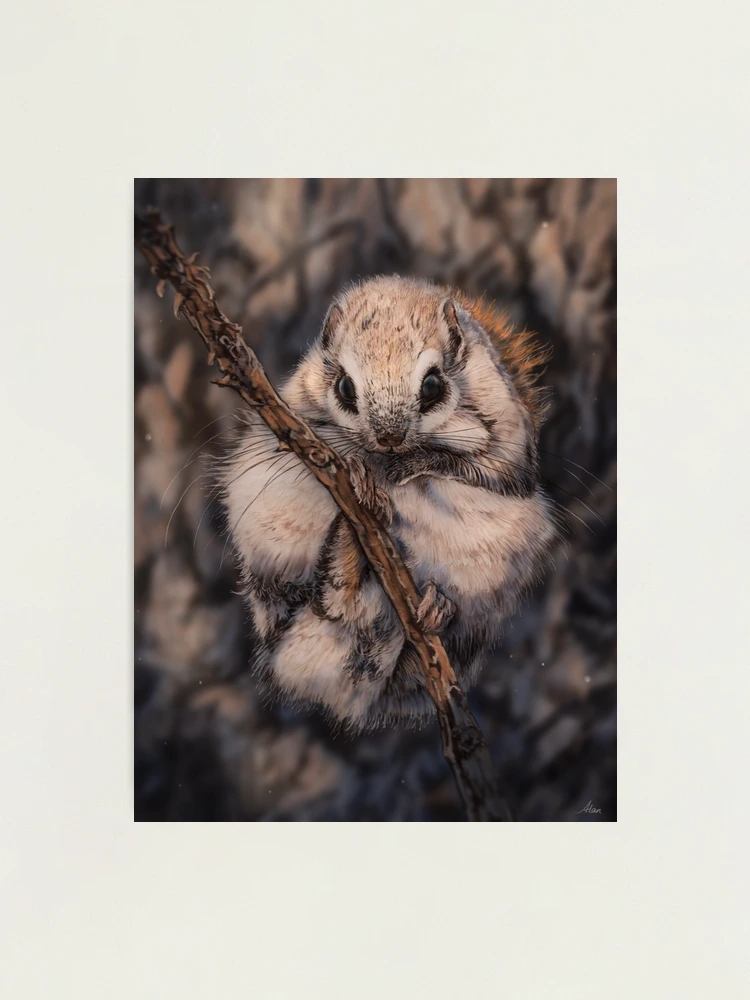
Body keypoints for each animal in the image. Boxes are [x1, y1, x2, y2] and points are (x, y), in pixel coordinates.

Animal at [221, 276, 557, 730]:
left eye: (433, 386)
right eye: (345, 387)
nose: (388, 438)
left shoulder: (509, 435)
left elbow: (491, 470)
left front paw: (407, 466)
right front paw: (364, 476)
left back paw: (432, 609)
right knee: (323, 603)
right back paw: (351, 540)